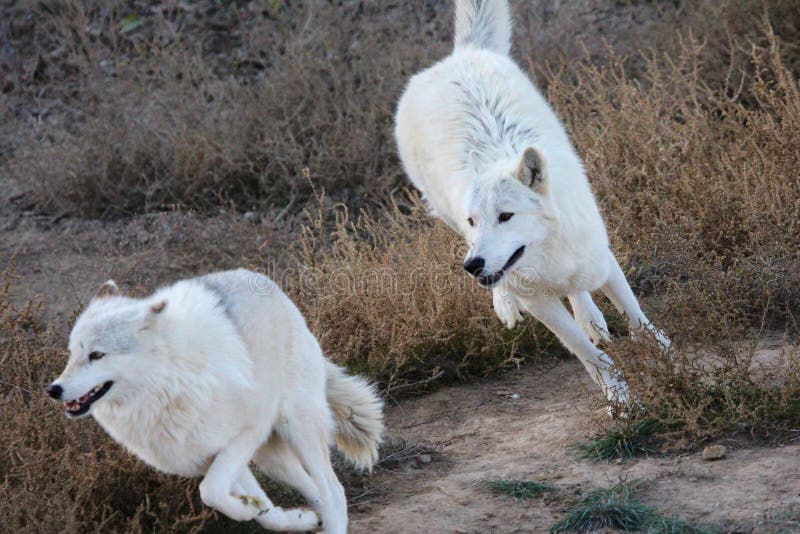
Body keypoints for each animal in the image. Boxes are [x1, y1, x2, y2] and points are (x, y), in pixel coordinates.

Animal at [46, 269, 384, 533]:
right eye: (72, 353)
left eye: (97, 355)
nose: (53, 390)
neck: (168, 383)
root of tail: (265, 283)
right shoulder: (209, 455)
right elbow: (260, 509)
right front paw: (265, 510)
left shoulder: (245, 434)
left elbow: (209, 491)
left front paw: (249, 508)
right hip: (272, 459)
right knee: (316, 491)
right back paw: (311, 519)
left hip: (297, 431)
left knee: (334, 491)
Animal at [395, 0, 669, 405]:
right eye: (475, 220)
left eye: (506, 216)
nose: (472, 267)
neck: (548, 254)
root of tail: (459, 56)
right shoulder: (537, 301)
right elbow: (588, 354)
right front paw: (619, 400)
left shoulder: (602, 262)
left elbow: (638, 320)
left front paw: (674, 364)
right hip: (448, 218)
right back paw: (508, 303)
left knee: (579, 291)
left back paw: (591, 318)